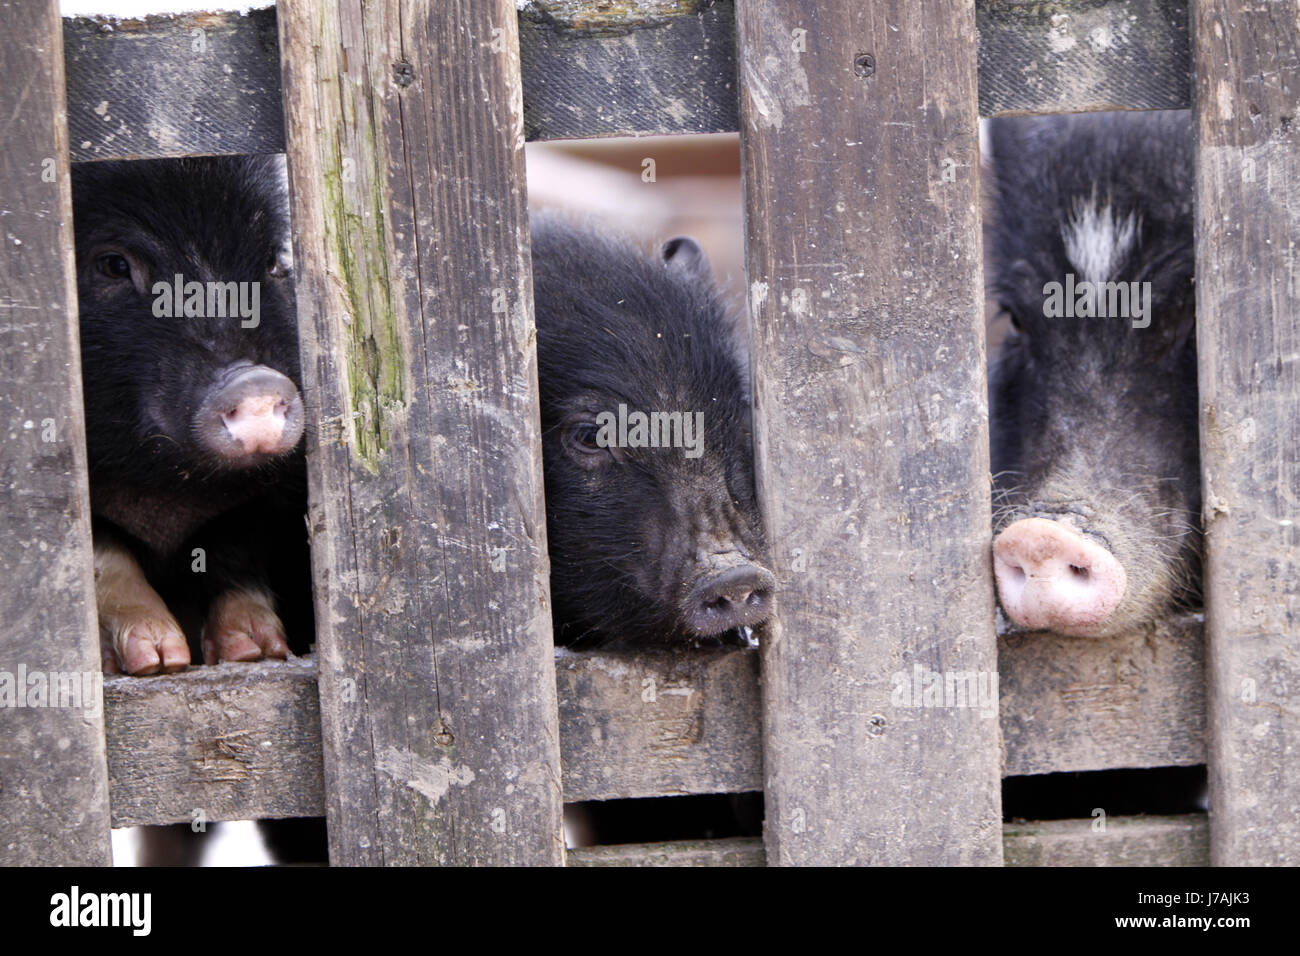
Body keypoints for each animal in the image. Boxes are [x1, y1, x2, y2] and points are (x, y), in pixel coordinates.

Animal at [71, 155, 311, 675]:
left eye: (273, 262)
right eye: (113, 264)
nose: (254, 381)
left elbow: (233, 551)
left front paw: (254, 652)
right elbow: (104, 552)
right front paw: (157, 660)